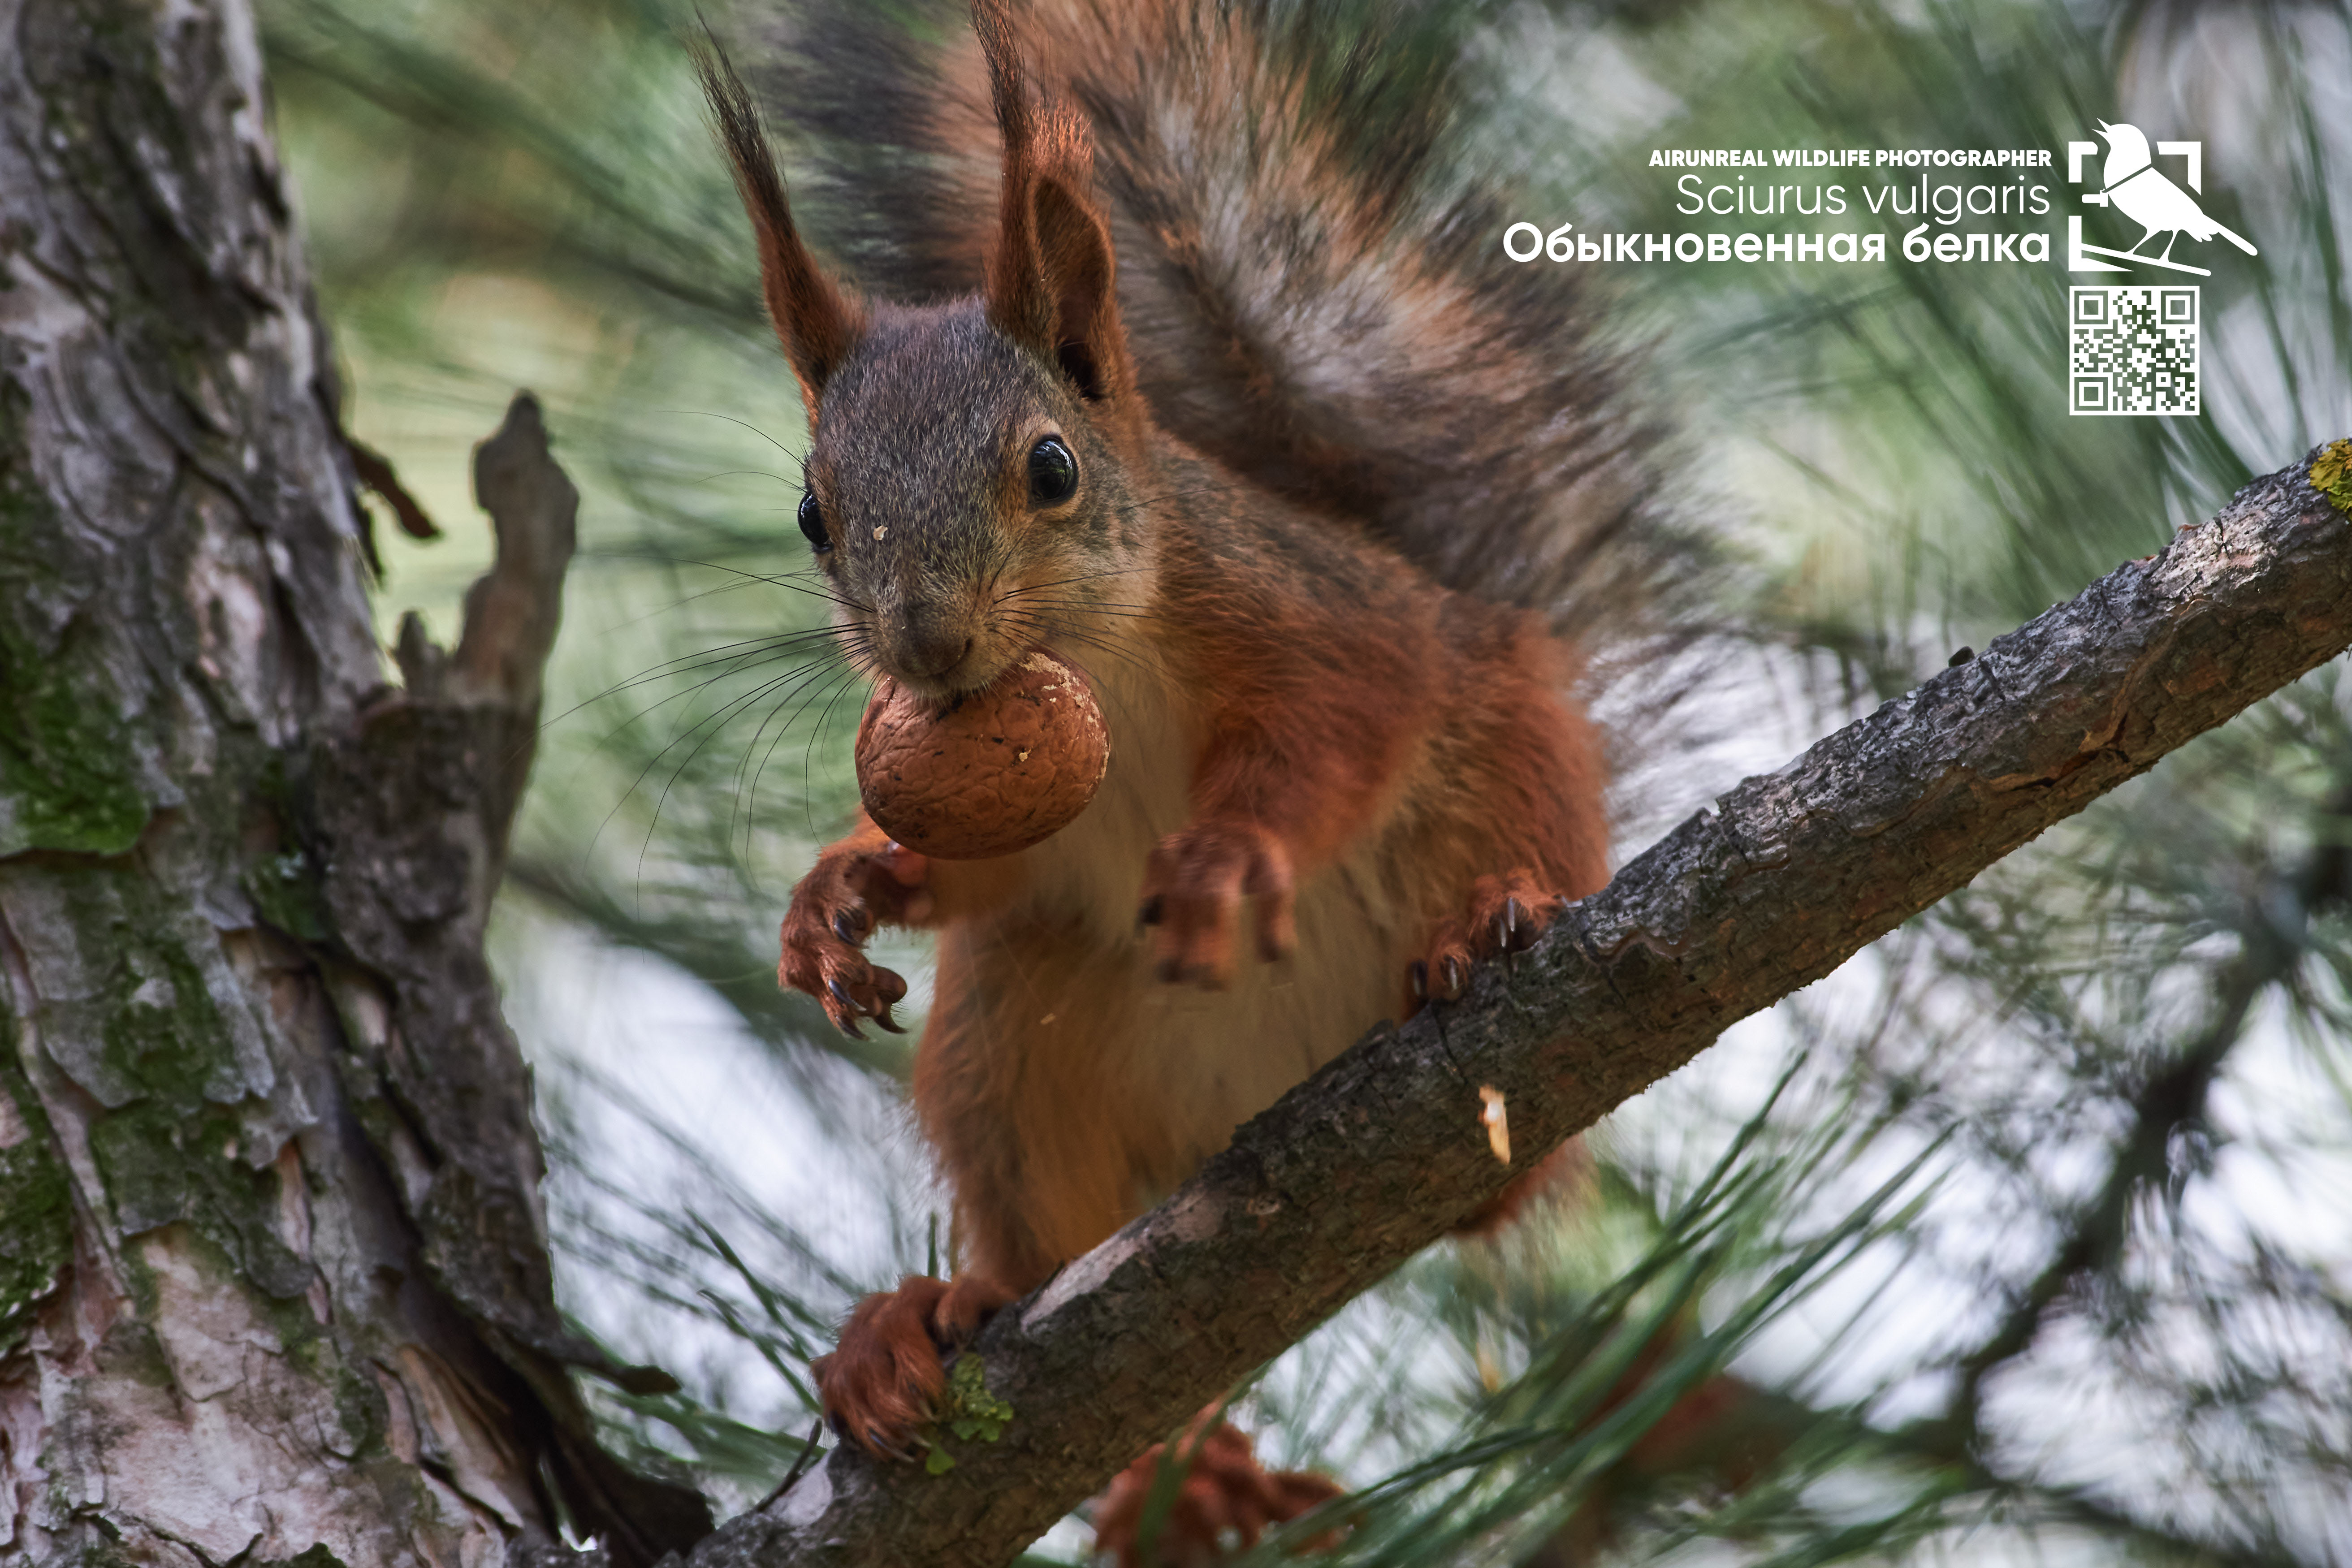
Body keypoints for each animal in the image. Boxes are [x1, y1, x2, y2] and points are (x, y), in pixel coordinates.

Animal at [696, 0, 1674, 1542]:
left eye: (1052, 466)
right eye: (811, 510)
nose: (928, 643)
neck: (1100, 660)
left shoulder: (1316, 614)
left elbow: (1344, 722)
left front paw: (1228, 859)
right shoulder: (1016, 817)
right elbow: (970, 868)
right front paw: (837, 894)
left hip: (1512, 759)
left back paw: (1494, 920)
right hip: (1008, 1043)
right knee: (1049, 1245)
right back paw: (940, 1329)